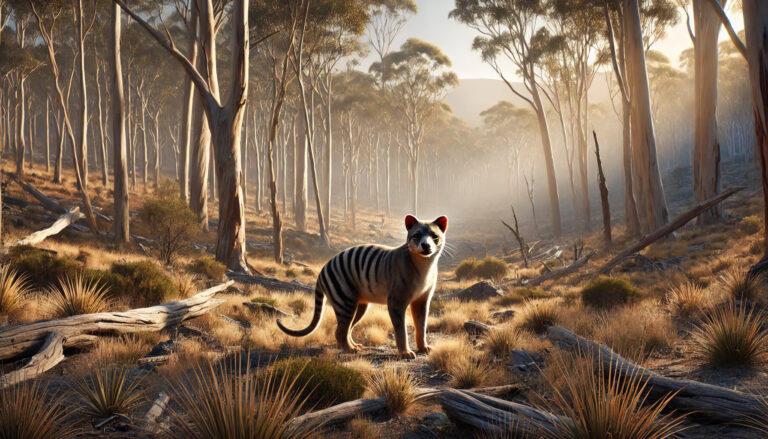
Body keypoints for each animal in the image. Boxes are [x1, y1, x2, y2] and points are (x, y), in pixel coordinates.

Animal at [277, 215, 448, 359]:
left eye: (434, 236)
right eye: (417, 235)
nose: (426, 245)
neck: (424, 265)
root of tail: (323, 269)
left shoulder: (422, 301)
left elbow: (421, 326)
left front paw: (423, 347)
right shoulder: (396, 303)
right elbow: (401, 331)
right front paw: (405, 352)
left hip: (359, 306)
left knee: (346, 329)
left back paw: (354, 346)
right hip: (345, 303)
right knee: (340, 332)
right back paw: (349, 350)